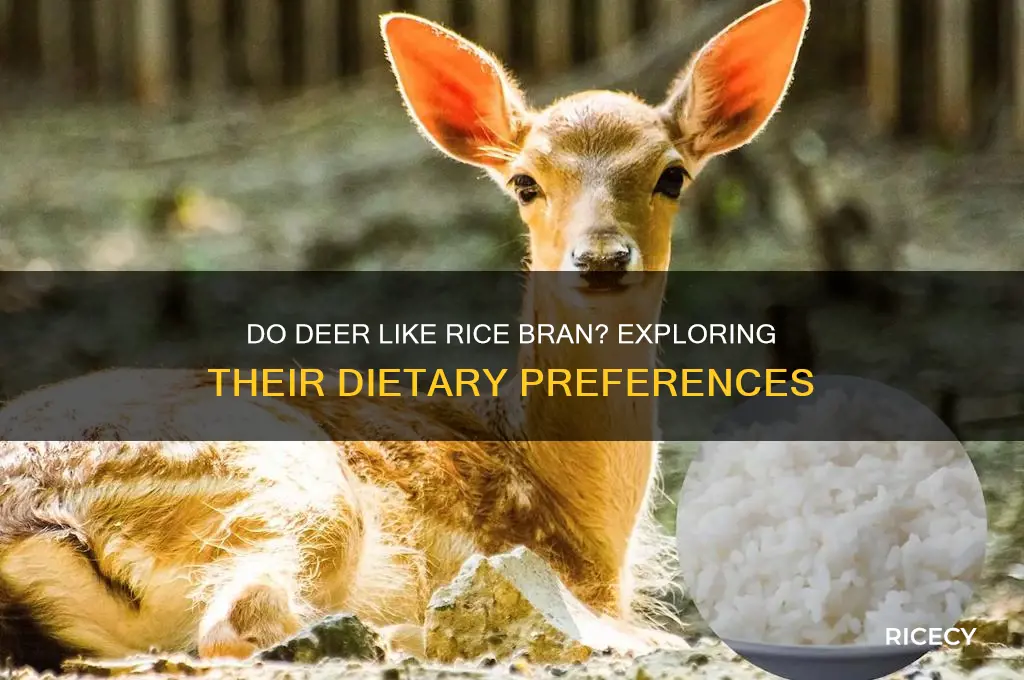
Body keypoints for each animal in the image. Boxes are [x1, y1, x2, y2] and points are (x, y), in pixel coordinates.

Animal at [0, 0, 809, 670]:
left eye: (672, 176)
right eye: (526, 182)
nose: (603, 257)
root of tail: (35, 518)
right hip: (292, 491)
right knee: (241, 620)